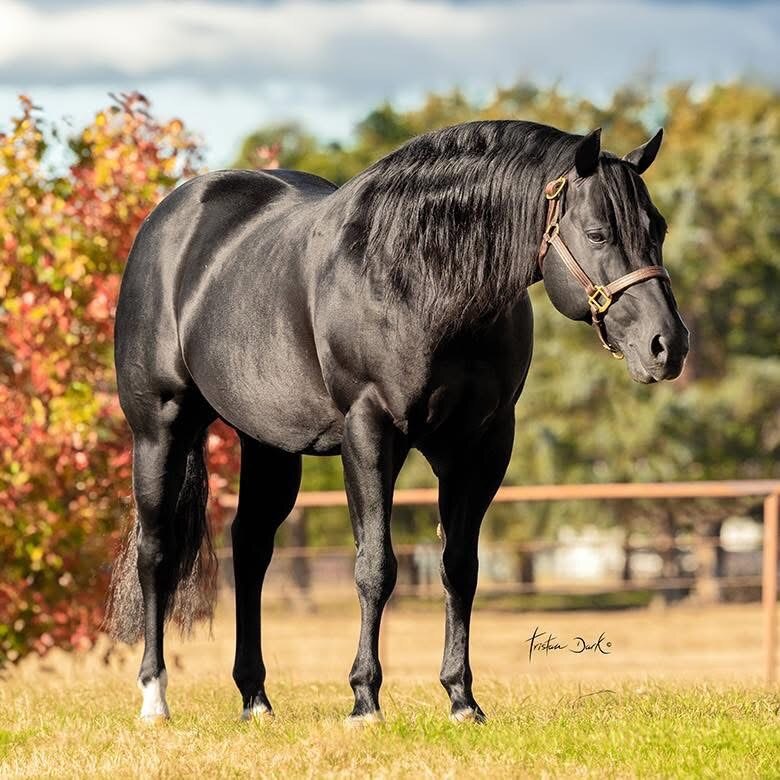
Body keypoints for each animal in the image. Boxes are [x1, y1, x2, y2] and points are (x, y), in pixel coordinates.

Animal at [108, 120, 689, 724]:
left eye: (659, 228)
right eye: (598, 234)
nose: (667, 346)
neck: (421, 280)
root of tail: (171, 216)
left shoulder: (482, 445)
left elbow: (460, 566)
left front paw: (462, 699)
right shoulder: (369, 430)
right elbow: (376, 567)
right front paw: (365, 699)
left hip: (269, 443)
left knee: (250, 546)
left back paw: (256, 699)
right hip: (159, 429)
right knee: (156, 551)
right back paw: (154, 697)